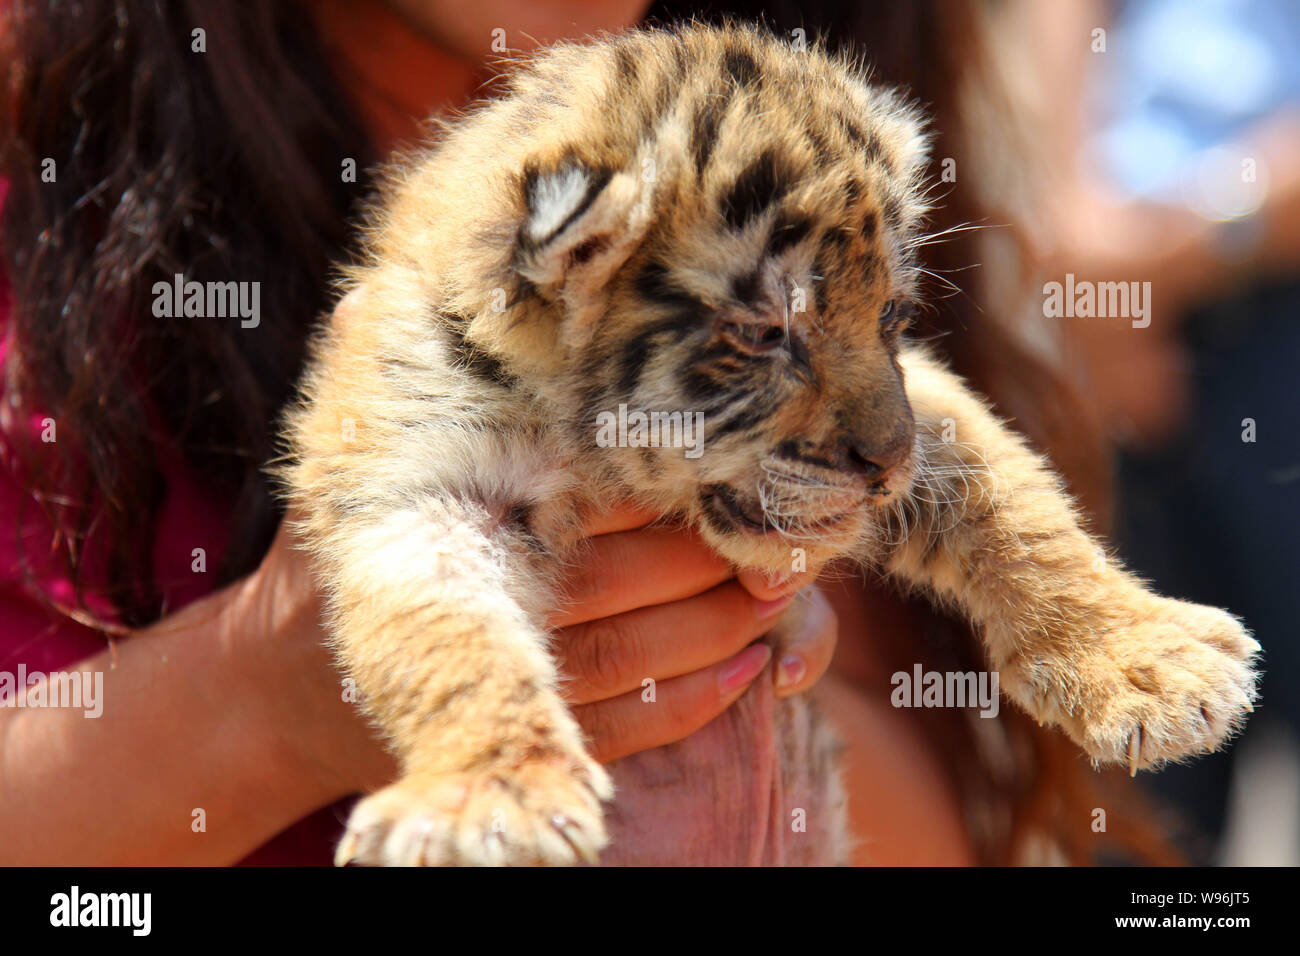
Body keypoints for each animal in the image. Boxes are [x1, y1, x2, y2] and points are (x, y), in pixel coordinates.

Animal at [279, 22, 1260, 866]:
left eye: (891, 315)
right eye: (763, 335)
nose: (888, 466)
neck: (582, 440)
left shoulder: (929, 404)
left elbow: (1021, 507)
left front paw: (1150, 663)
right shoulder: (419, 488)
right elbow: (445, 644)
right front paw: (487, 798)